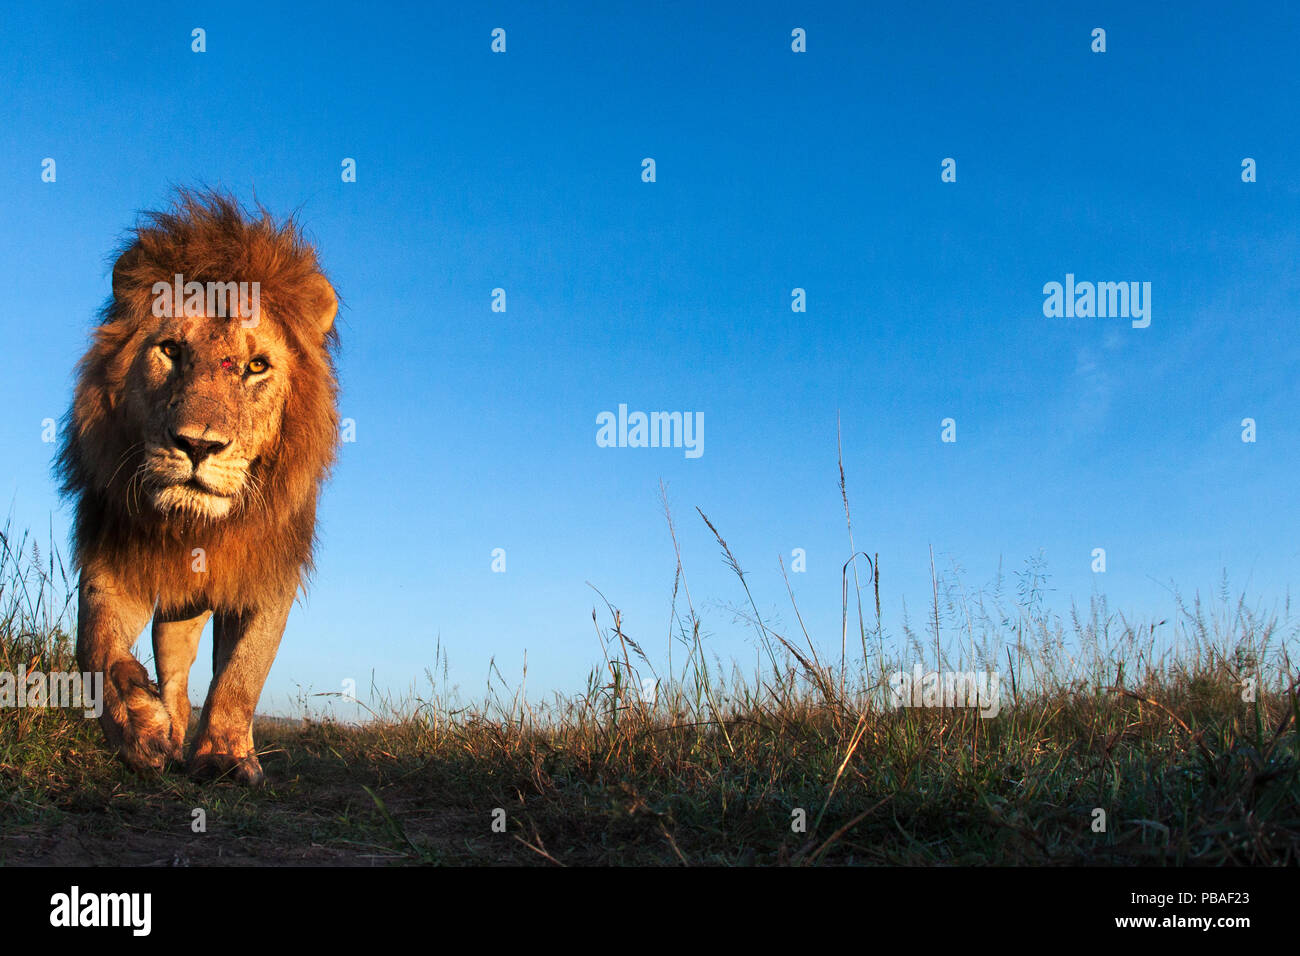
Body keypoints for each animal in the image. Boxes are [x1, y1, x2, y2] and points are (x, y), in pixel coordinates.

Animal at [57, 190, 340, 786]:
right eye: (171, 351)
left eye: (255, 366)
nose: (197, 445)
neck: (199, 526)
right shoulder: (115, 552)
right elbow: (95, 645)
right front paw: (139, 727)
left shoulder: (267, 576)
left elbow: (242, 674)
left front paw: (226, 756)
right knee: (175, 670)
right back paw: (169, 726)